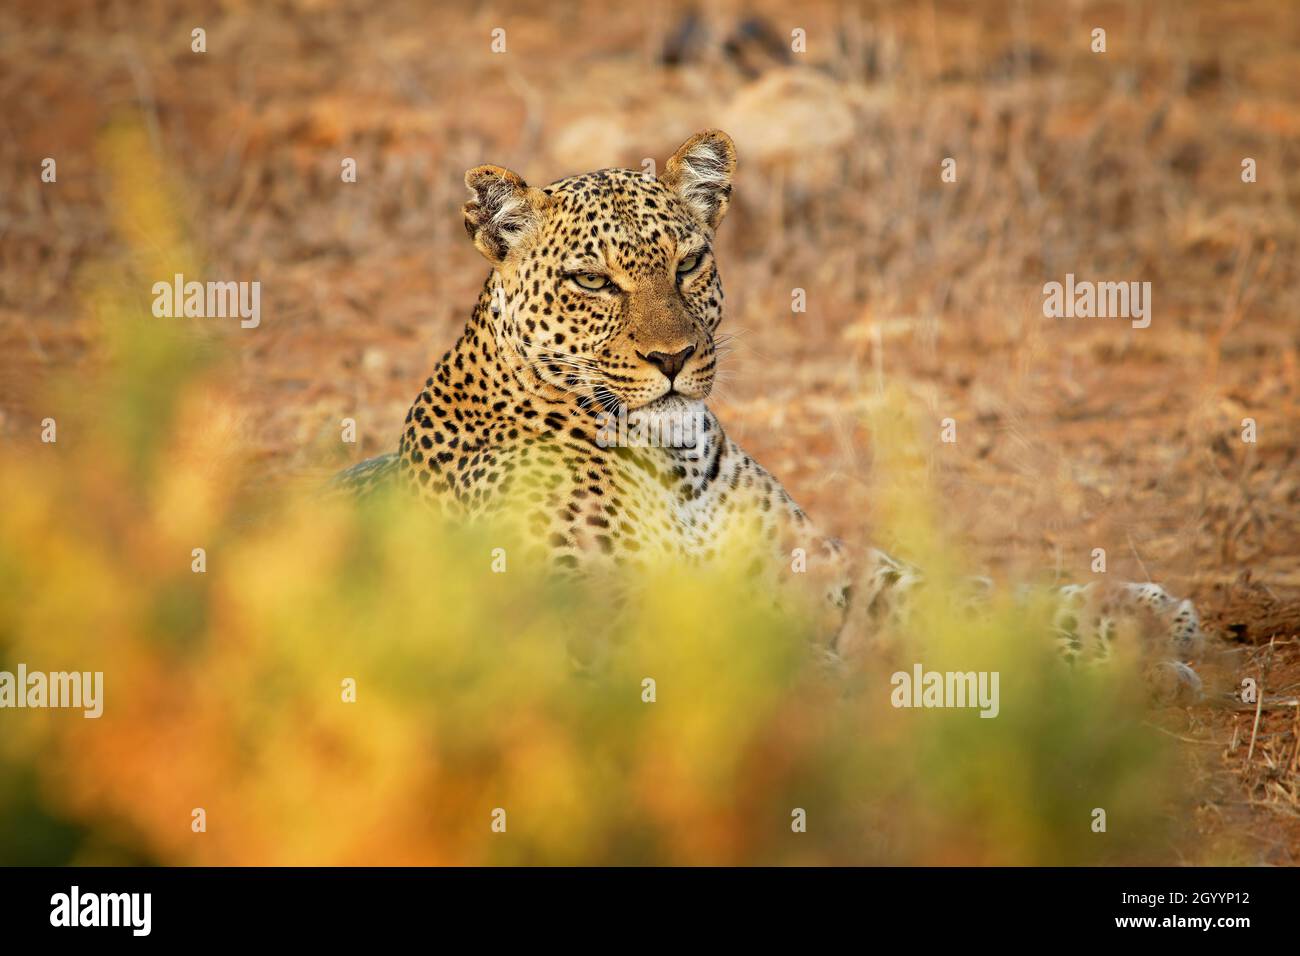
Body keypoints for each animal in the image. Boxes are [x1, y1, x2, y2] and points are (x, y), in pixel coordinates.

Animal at [334, 129, 1206, 701]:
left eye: (689, 262)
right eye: (592, 281)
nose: (674, 357)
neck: (677, 463)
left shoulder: (825, 571)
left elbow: (973, 595)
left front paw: (1143, 618)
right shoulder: (590, 620)